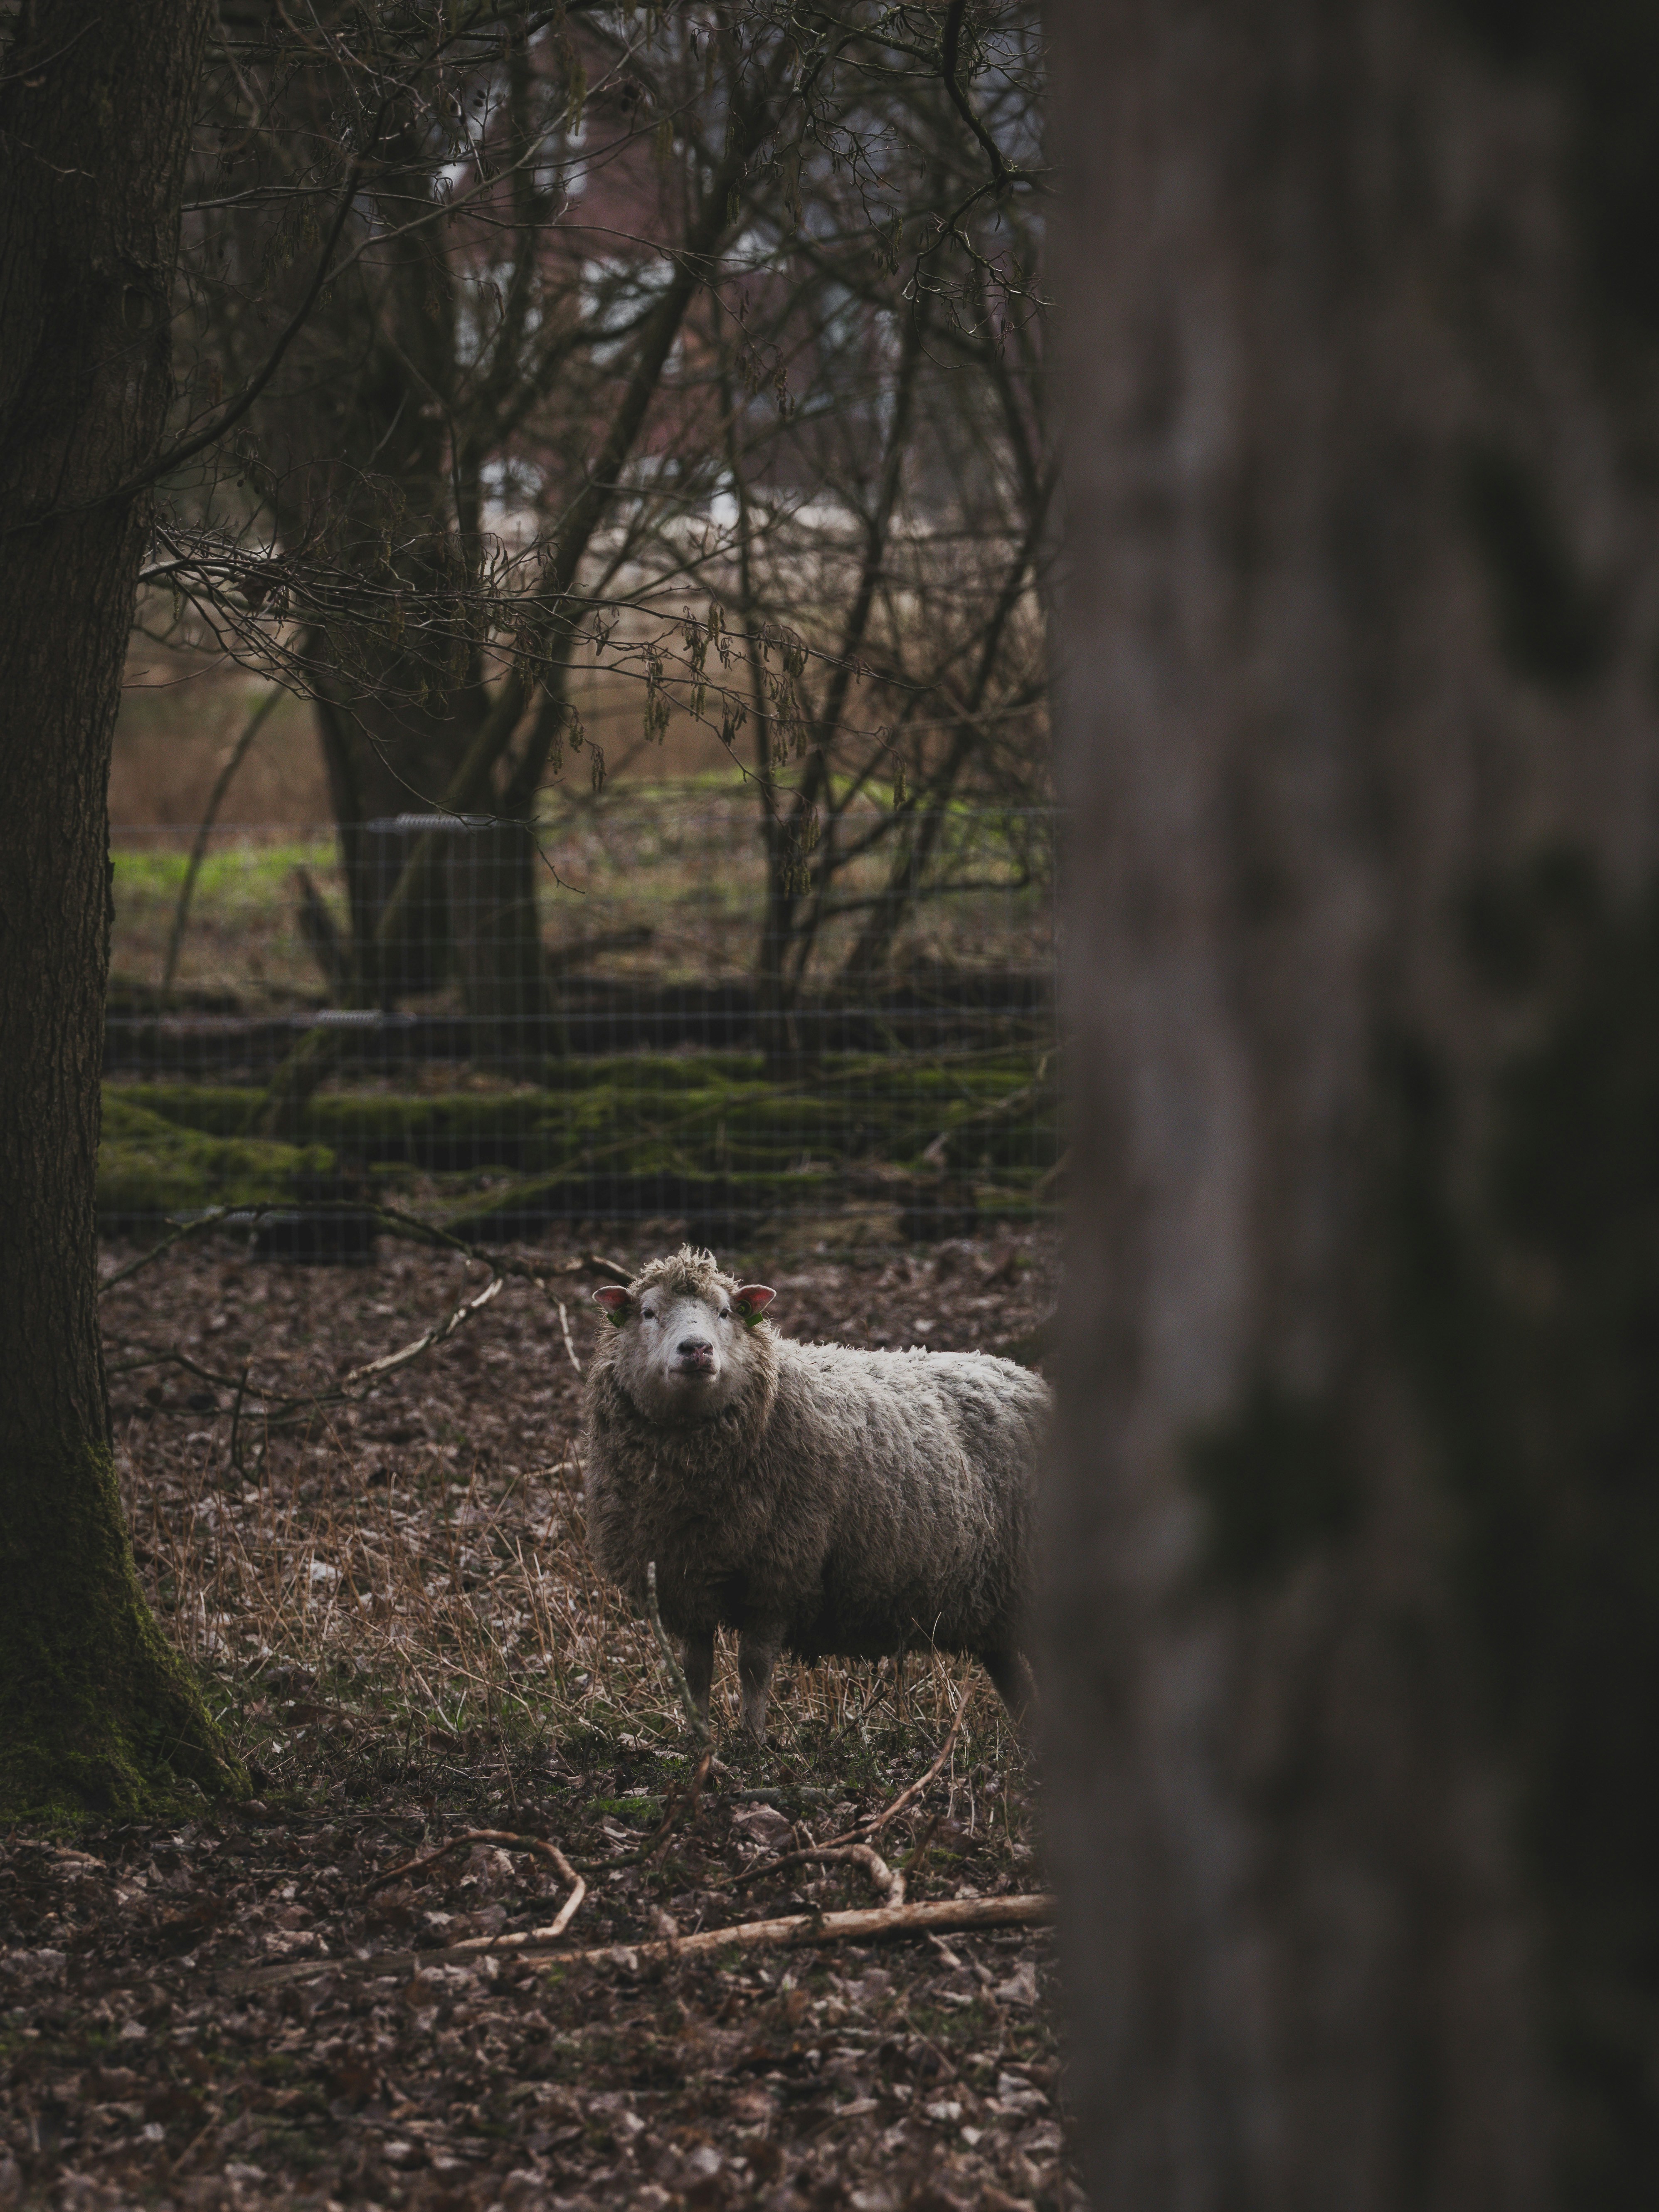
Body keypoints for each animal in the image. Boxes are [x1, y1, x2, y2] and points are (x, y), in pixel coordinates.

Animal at [580, 1246, 1048, 1741]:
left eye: (725, 1311)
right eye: (648, 1312)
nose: (697, 1349)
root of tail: (1021, 1373)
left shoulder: (780, 1571)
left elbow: (753, 1665)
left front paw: (753, 1739)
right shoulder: (686, 1578)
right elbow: (695, 1670)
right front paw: (698, 1740)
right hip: (991, 1594)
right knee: (1009, 1669)